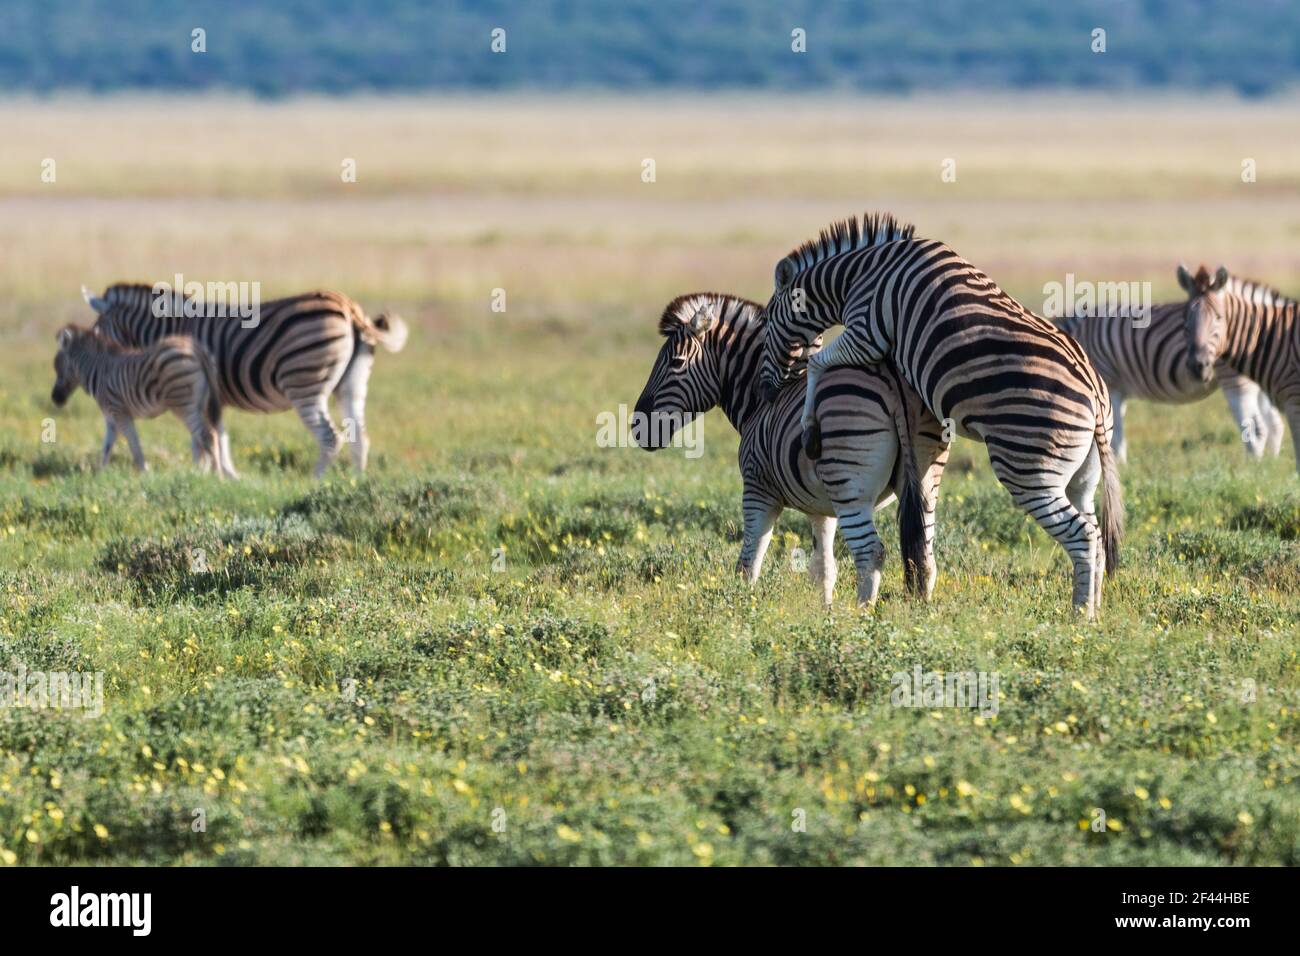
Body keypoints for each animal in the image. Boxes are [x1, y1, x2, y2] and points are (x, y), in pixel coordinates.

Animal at [51, 325, 230, 476]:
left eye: (57, 366)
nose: (55, 399)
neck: (99, 371)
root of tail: (196, 349)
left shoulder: (120, 412)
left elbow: (134, 444)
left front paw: (145, 474)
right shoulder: (111, 418)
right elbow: (107, 446)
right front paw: (100, 475)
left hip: (183, 404)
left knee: (207, 435)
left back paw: (217, 476)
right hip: (201, 404)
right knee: (209, 435)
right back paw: (205, 474)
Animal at [82, 283, 408, 477]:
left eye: (97, 331)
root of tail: (350, 309)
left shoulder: (193, 391)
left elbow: (199, 439)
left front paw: (203, 473)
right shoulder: (211, 397)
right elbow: (219, 435)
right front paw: (226, 474)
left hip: (304, 381)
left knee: (331, 437)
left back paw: (316, 485)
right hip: (351, 385)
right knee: (359, 437)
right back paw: (354, 484)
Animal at [633, 292, 949, 606]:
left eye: (676, 362)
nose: (637, 426)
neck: (760, 401)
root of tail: (894, 380)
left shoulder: (758, 490)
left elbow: (748, 562)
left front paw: (740, 607)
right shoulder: (822, 509)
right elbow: (823, 568)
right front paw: (826, 612)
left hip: (849, 486)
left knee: (871, 552)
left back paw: (862, 614)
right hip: (923, 478)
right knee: (924, 555)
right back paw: (918, 608)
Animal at [758, 213, 1123, 619]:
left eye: (765, 323)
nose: (766, 393)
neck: (859, 274)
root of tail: (1094, 392)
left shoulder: (865, 332)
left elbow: (818, 364)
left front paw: (809, 428)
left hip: (1029, 468)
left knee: (1083, 536)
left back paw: (1079, 615)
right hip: (1081, 476)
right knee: (1096, 534)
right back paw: (1095, 610)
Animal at [1059, 276, 1292, 462]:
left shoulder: (1109, 382)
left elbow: (1113, 437)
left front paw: (1118, 467)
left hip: (1236, 381)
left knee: (1257, 428)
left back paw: (1252, 468)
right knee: (1275, 425)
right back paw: (1271, 464)